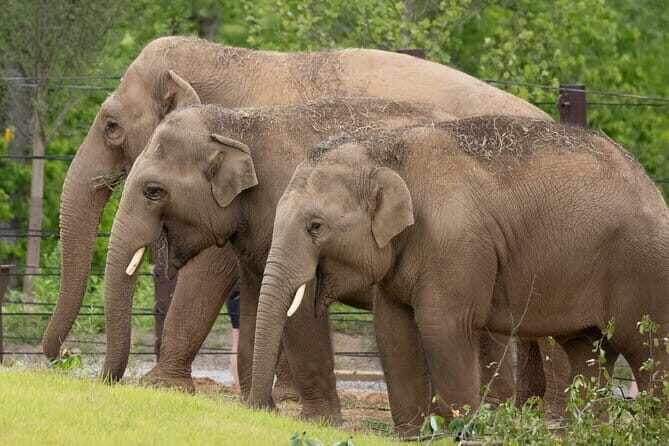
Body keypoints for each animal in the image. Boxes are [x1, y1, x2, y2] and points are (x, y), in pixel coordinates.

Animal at [44, 35, 551, 415]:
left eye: (111, 126)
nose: (60, 361)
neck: (226, 58)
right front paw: (262, 400)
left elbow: (213, 272)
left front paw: (160, 387)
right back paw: (527, 409)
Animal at [248, 116, 669, 435]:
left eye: (315, 227)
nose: (258, 409)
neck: (385, 150)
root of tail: (653, 190)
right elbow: (393, 330)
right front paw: (414, 436)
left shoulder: (454, 242)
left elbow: (443, 327)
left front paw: (463, 430)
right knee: (588, 351)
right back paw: (590, 431)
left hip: (643, 269)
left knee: (648, 349)